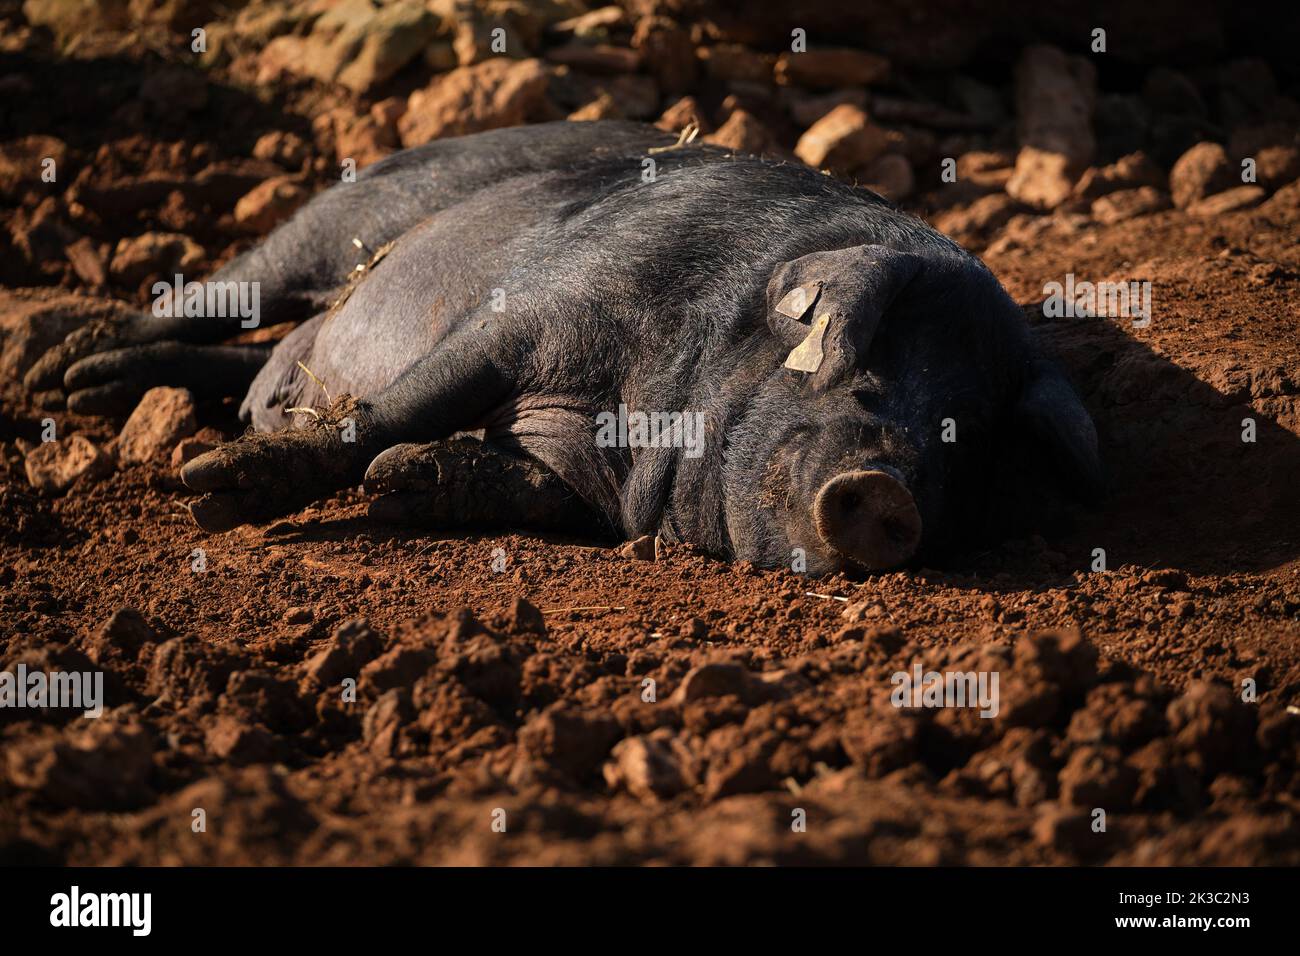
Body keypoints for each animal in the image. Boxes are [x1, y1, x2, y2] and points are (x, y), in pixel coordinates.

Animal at [29, 120, 1103, 575]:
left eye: (961, 445)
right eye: (868, 379)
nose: (887, 496)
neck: (656, 418)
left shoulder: (586, 487)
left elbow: (510, 483)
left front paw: (403, 484)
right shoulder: (534, 311)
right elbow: (396, 406)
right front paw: (212, 497)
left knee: (246, 358)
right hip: (357, 211)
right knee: (226, 294)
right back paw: (60, 374)